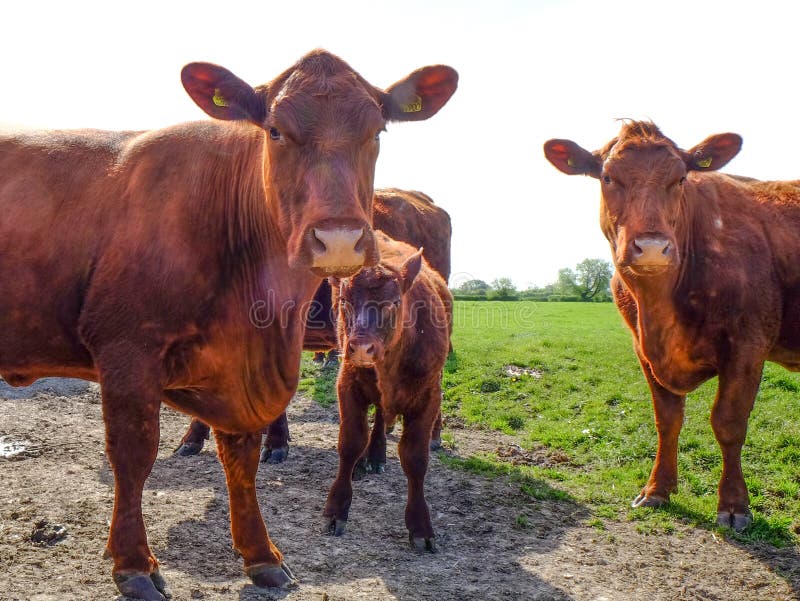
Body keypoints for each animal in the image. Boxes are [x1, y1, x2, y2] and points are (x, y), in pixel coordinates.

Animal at [322, 231, 452, 551]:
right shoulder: (348, 384)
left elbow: (415, 458)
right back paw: (372, 455)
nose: (361, 348)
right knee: (379, 415)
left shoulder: (427, 396)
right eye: (344, 300)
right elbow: (350, 443)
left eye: (393, 301)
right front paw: (337, 508)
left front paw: (420, 525)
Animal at [543, 120, 800, 531]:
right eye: (608, 177)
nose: (651, 247)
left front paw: (734, 505)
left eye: (680, 178)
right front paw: (657, 490)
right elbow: (667, 420)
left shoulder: (748, 345)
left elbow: (729, 423)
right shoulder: (642, 348)